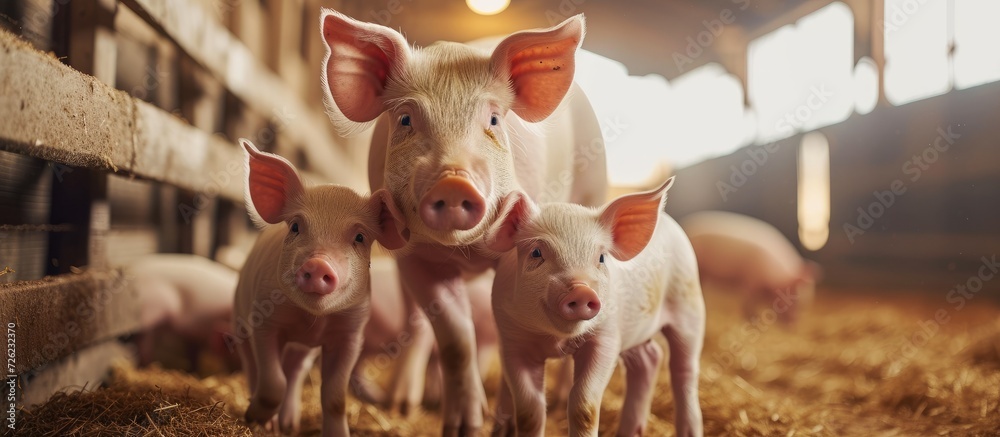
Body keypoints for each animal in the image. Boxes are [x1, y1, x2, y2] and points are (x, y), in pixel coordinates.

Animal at [231, 139, 407, 436]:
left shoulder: (351, 335)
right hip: (239, 319)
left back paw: (289, 425)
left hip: (305, 351)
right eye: (295, 226)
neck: (311, 321)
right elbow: (273, 381)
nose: (318, 264)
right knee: (253, 369)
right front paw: (255, 419)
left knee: (294, 371)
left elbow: (335, 396)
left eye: (360, 237)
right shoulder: (264, 321)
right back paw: (265, 422)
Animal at [320, 9, 608, 432]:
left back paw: (554, 400)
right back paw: (404, 404)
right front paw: (464, 427)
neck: (465, 252)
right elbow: (455, 341)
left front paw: (502, 427)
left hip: (594, 188)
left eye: (494, 119)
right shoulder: (413, 257)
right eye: (405, 118)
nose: (454, 180)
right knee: (416, 324)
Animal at [483, 178, 705, 437]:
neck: (557, 340)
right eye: (536, 252)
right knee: (650, 358)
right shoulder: (511, 339)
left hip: (689, 306)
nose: (582, 290)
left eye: (600, 258)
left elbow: (584, 405)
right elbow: (529, 411)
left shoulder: (606, 337)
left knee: (684, 371)